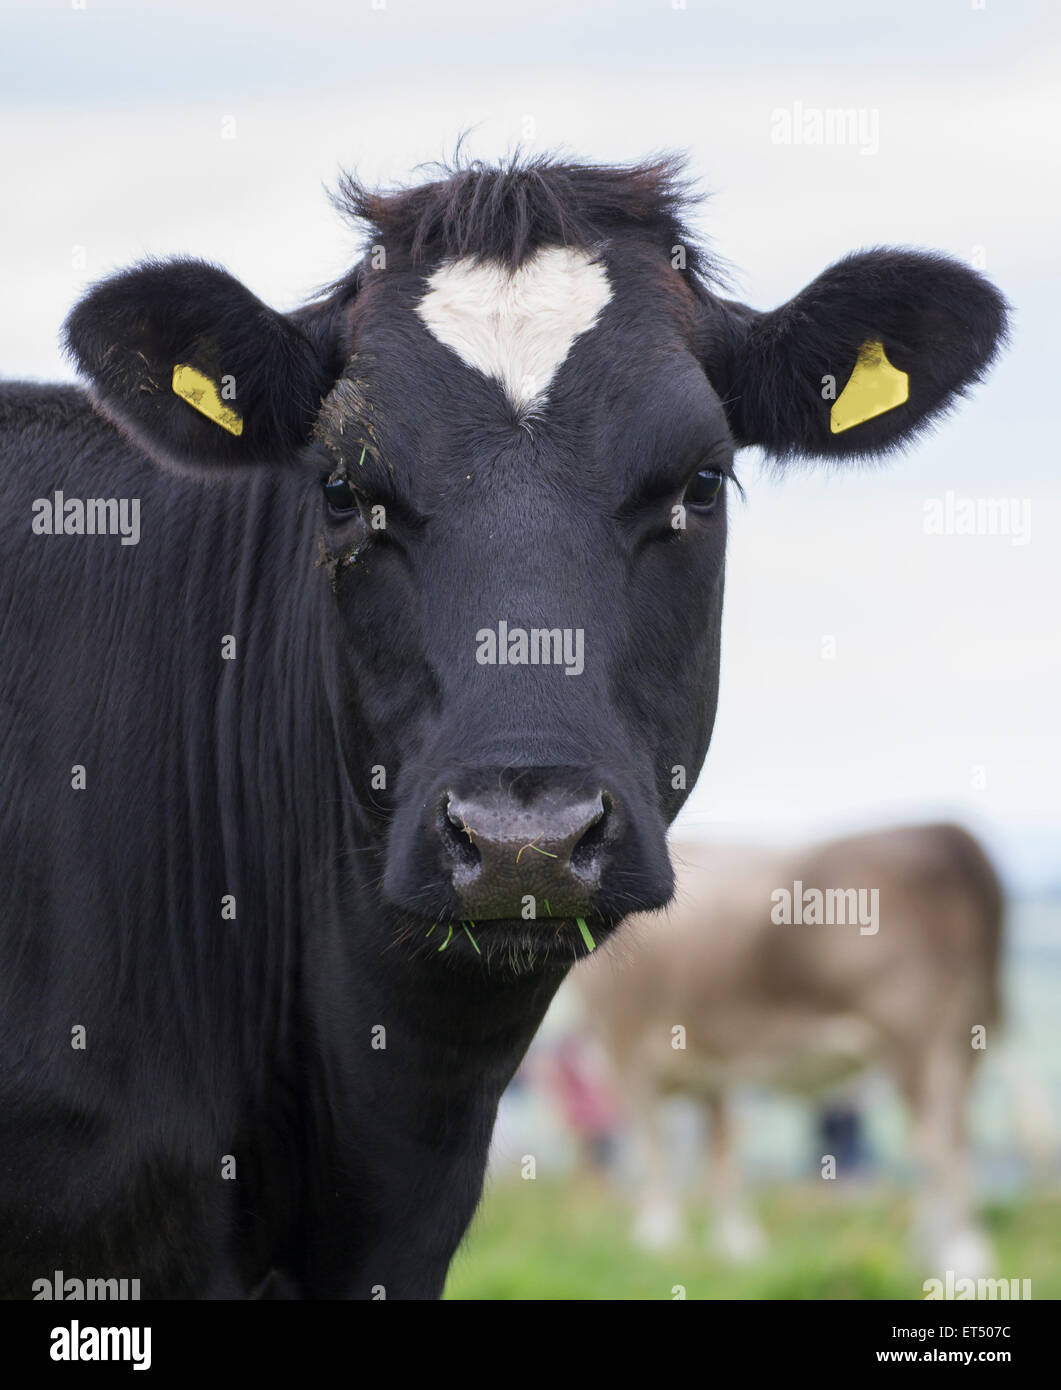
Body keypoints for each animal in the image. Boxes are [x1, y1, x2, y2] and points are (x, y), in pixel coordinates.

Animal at [574, 824, 1004, 1278]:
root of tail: (946, 831)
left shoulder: (624, 1037)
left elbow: (651, 1135)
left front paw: (659, 1234)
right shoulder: (706, 1057)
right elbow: (720, 1145)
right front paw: (736, 1243)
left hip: (915, 1033)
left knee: (940, 1139)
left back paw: (962, 1259)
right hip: (964, 1032)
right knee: (945, 1139)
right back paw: (925, 1254)